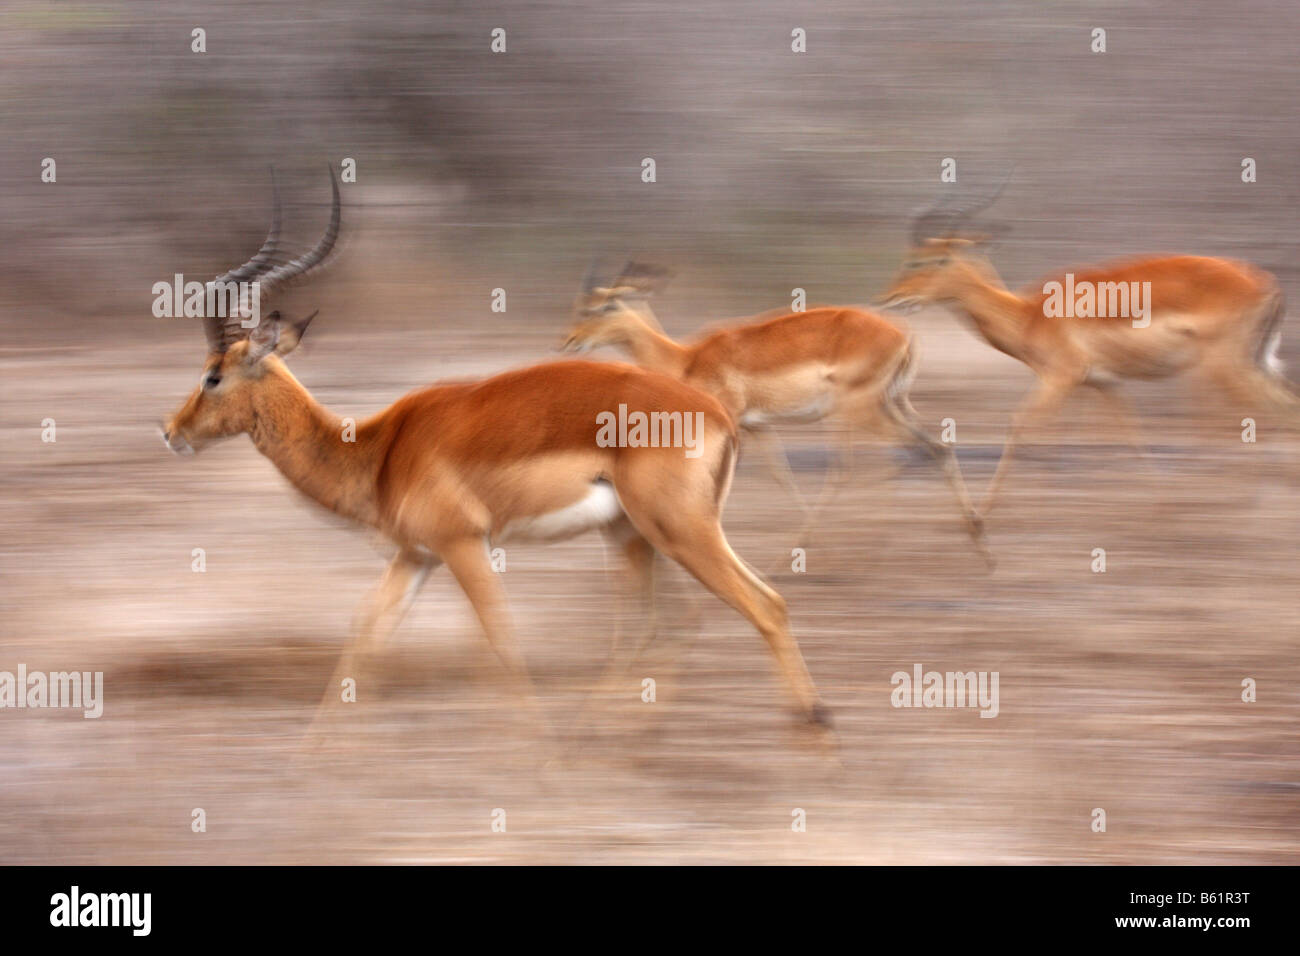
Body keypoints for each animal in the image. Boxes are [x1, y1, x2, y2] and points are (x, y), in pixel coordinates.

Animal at [159, 169, 832, 741]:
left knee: (760, 606)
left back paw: (808, 726)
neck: (379, 450)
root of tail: (715, 413)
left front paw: (534, 759)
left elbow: (499, 641)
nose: (170, 430)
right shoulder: (417, 556)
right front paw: (314, 762)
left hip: (678, 530)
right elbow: (368, 635)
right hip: (633, 533)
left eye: (213, 376)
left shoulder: (463, 544)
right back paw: (615, 735)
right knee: (669, 622)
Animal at [560, 261, 990, 563]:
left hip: (855, 411)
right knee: (932, 448)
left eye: (606, 304)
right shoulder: (757, 427)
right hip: (893, 404)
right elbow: (781, 474)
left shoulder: (728, 425)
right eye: (583, 305)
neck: (685, 359)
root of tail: (905, 333)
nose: (569, 339)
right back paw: (975, 543)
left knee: (862, 465)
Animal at [879, 188, 1295, 512]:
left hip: (1225, 367)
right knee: (1284, 406)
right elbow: (1128, 436)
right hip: (1256, 363)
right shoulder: (1101, 383)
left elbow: (1021, 425)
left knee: (1270, 414)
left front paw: (984, 515)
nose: (892, 298)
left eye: (936, 259)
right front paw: (1162, 502)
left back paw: (1242, 502)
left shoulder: (1060, 377)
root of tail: (1266, 283)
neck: (1029, 315)